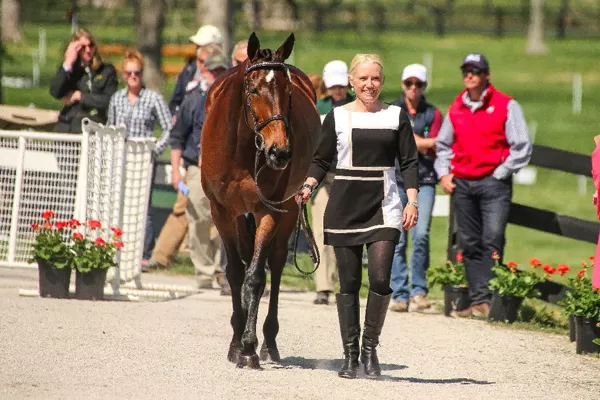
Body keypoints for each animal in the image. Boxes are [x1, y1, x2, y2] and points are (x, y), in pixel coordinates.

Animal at [200, 32, 324, 368]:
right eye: (254, 89)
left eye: (288, 91)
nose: (279, 152)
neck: (242, 148)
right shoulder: (222, 212)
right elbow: (235, 273)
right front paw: (236, 342)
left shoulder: (267, 210)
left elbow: (256, 277)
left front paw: (249, 346)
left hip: (289, 209)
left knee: (276, 263)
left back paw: (268, 340)